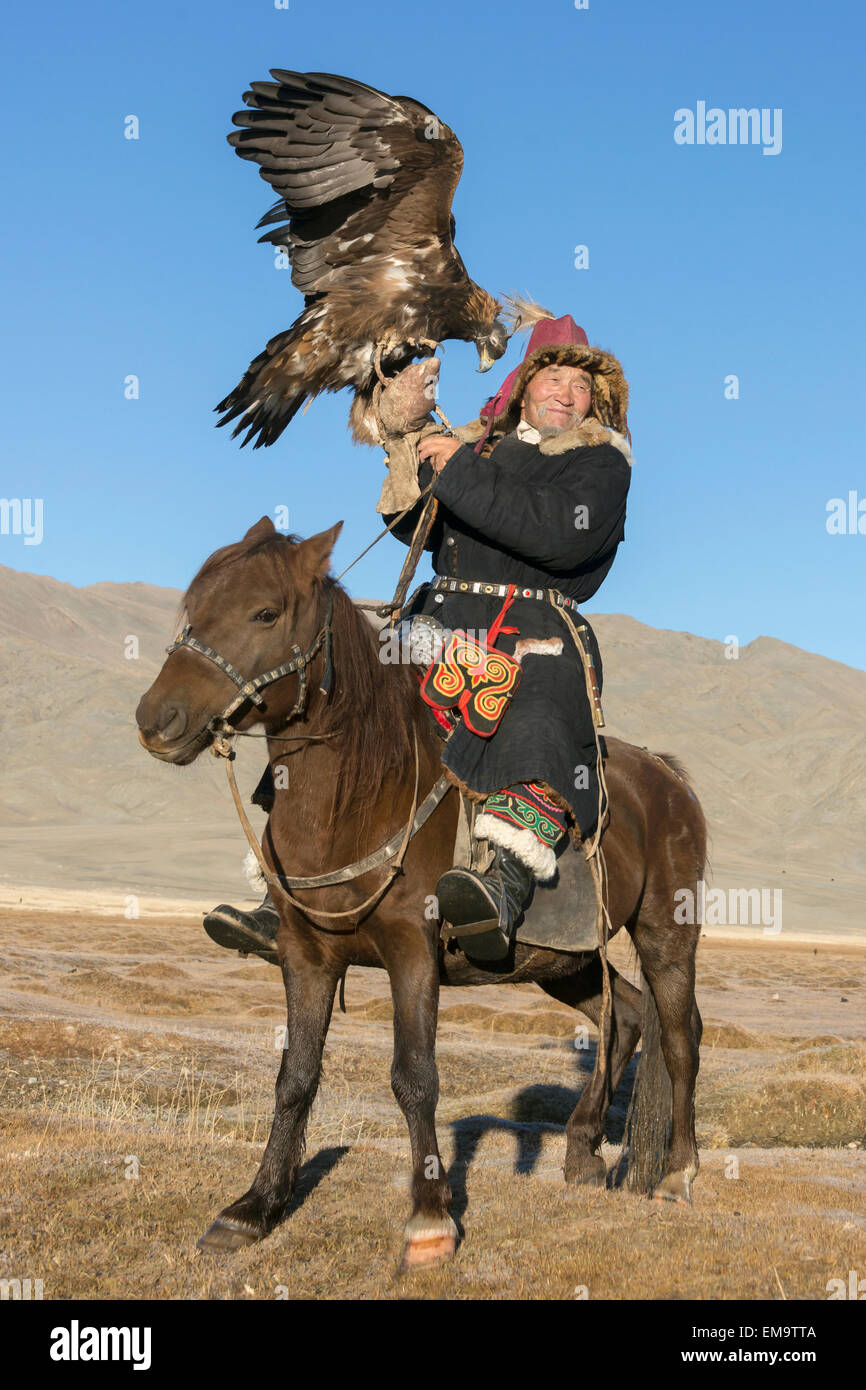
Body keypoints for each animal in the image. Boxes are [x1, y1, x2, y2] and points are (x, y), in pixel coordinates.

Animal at [136, 516, 706, 1268]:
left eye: (265, 613)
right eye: (194, 609)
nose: (157, 719)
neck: (357, 792)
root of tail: (669, 781)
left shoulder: (412, 951)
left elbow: (415, 1077)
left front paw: (430, 1220)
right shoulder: (306, 956)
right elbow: (295, 1075)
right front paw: (254, 1208)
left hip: (667, 933)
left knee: (679, 1035)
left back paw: (677, 1175)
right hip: (560, 959)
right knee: (629, 1015)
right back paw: (583, 1150)